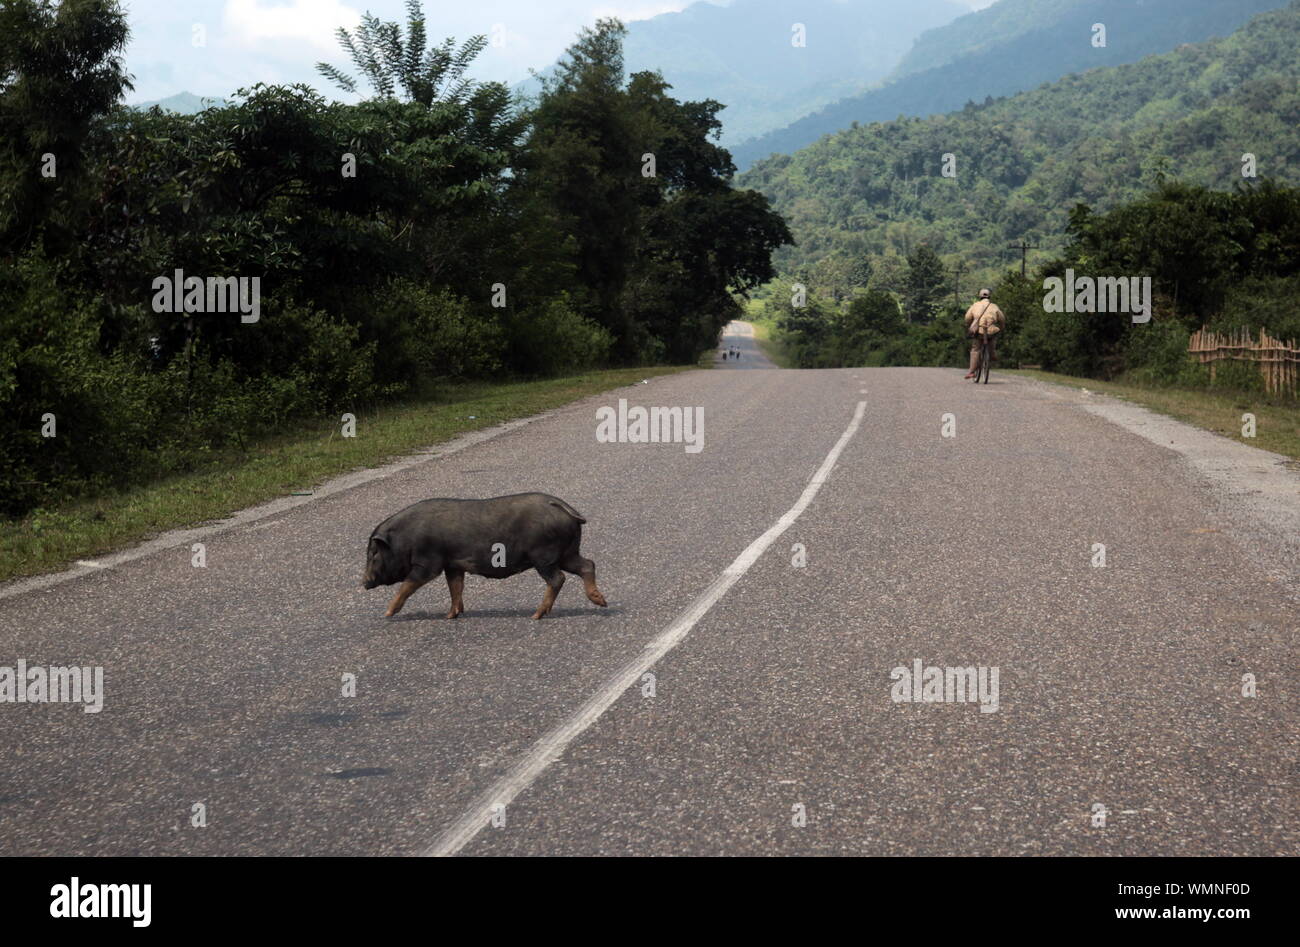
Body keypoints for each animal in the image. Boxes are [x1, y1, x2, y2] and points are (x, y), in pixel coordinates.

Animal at [362, 493, 608, 620]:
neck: (405, 539)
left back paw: (536, 615)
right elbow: (456, 587)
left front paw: (386, 614)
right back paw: (601, 602)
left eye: (373, 554)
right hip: (567, 553)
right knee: (588, 565)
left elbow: (407, 585)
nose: (363, 582)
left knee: (558, 579)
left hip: (544, 556)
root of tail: (563, 506)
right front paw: (451, 615)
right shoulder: (453, 564)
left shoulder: (428, 563)